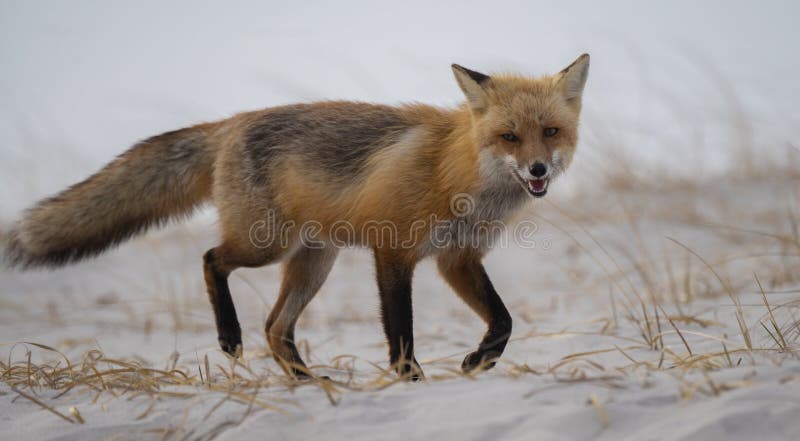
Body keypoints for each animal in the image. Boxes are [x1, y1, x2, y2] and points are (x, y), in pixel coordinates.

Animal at [3, 54, 589, 381]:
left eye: (550, 132)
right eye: (509, 137)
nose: (538, 169)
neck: (456, 171)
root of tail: (232, 121)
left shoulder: (456, 258)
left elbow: (503, 321)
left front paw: (478, 362)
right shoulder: (394, 253)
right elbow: (401, 333)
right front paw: (410, 381)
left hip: (313, 262)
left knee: (275, 327)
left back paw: (310, 384)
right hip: (266, 245)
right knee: (212, 260)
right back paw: (230, 337)